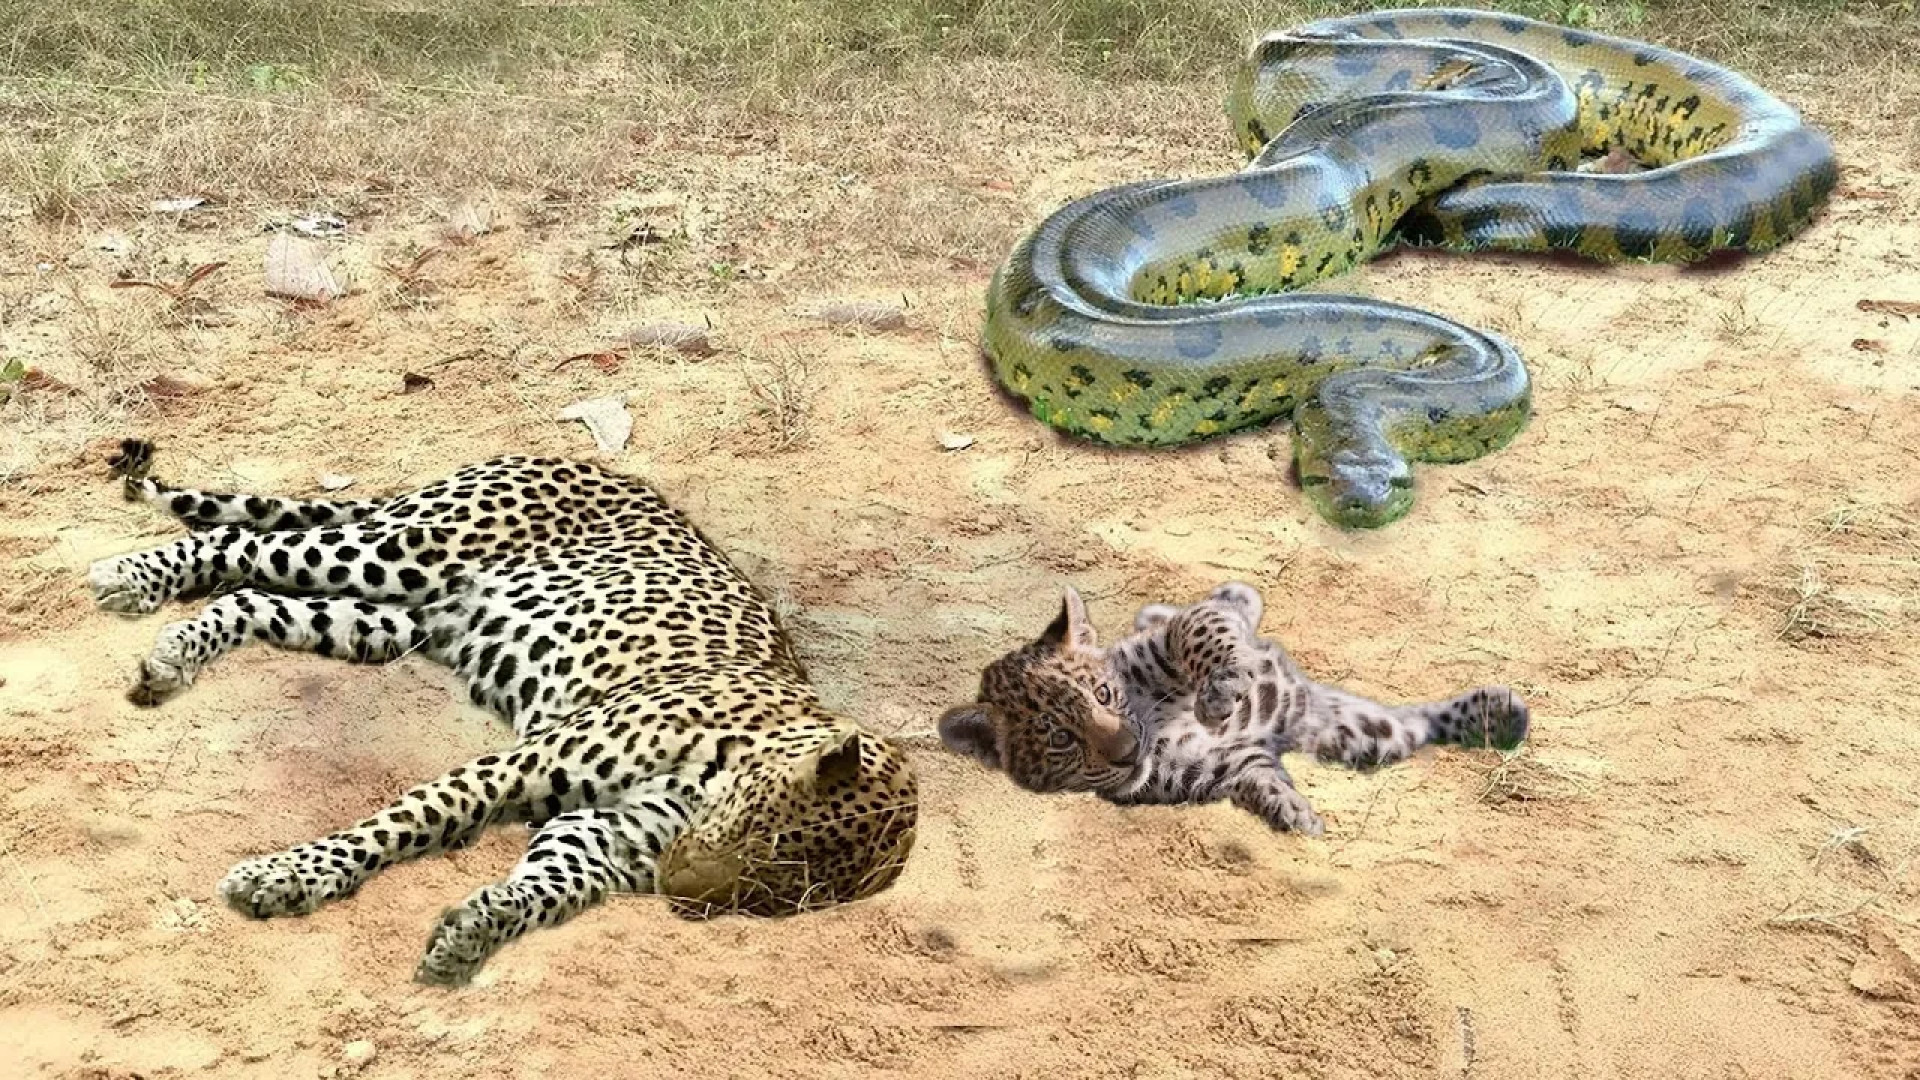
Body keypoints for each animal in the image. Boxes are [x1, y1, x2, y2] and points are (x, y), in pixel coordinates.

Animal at [84, 438, 918, 985]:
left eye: (772, 903)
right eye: (762, 839)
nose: (679, 896)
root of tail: (573, 458)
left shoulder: (604, 836)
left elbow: (547, 887)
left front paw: (474, 930)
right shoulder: (528, 761)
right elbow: (412, 818)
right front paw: (284, 876)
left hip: (390, 619)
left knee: (254, 594)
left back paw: (174, 654)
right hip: (401, 549)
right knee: (242, 538)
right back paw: (129, 576)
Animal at [938, 581, 1528, 836]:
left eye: (1102, 694)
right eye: (1059, 738)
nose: (1128, 751)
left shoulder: (1170, 641)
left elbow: (1197, 630)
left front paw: (1220, 691)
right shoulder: (1214, 769)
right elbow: (1256, 777)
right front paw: (1290, 811)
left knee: (1224, 603)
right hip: (1364, 733)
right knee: (1411, 725)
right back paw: (1500, 717)